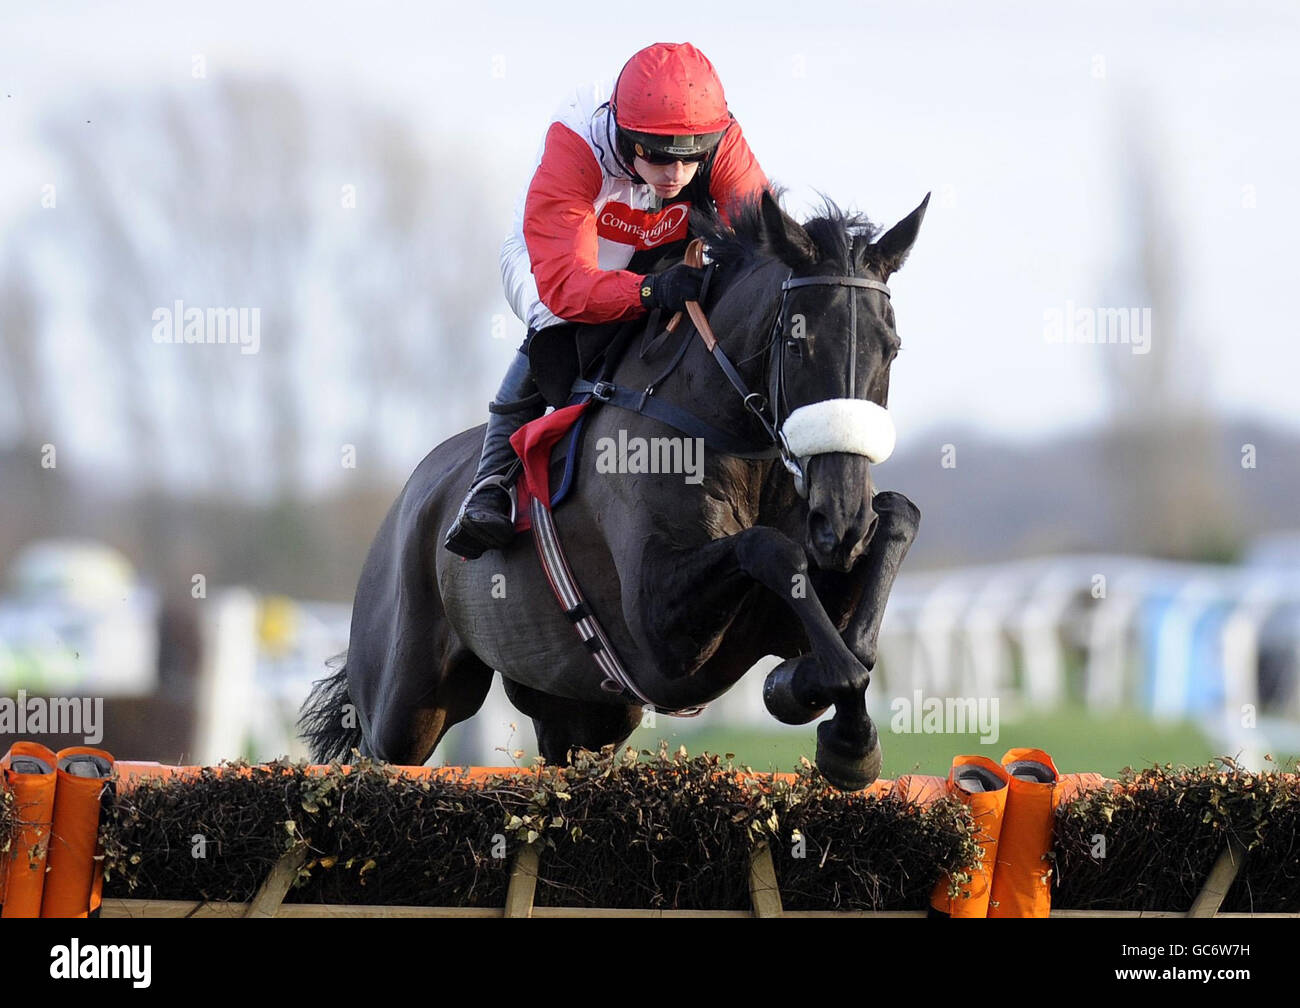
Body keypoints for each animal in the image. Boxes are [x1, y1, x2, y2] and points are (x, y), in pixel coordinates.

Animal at [301, 189, 928, 791]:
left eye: (892, 347)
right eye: (798, 345)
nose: (841, 523)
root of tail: (406, 501)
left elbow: (893, 529)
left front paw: (818, 701)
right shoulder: (661, 630)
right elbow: (769, 549)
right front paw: (845, 735)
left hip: (580, 710)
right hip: (404, 705)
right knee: (378, 754)